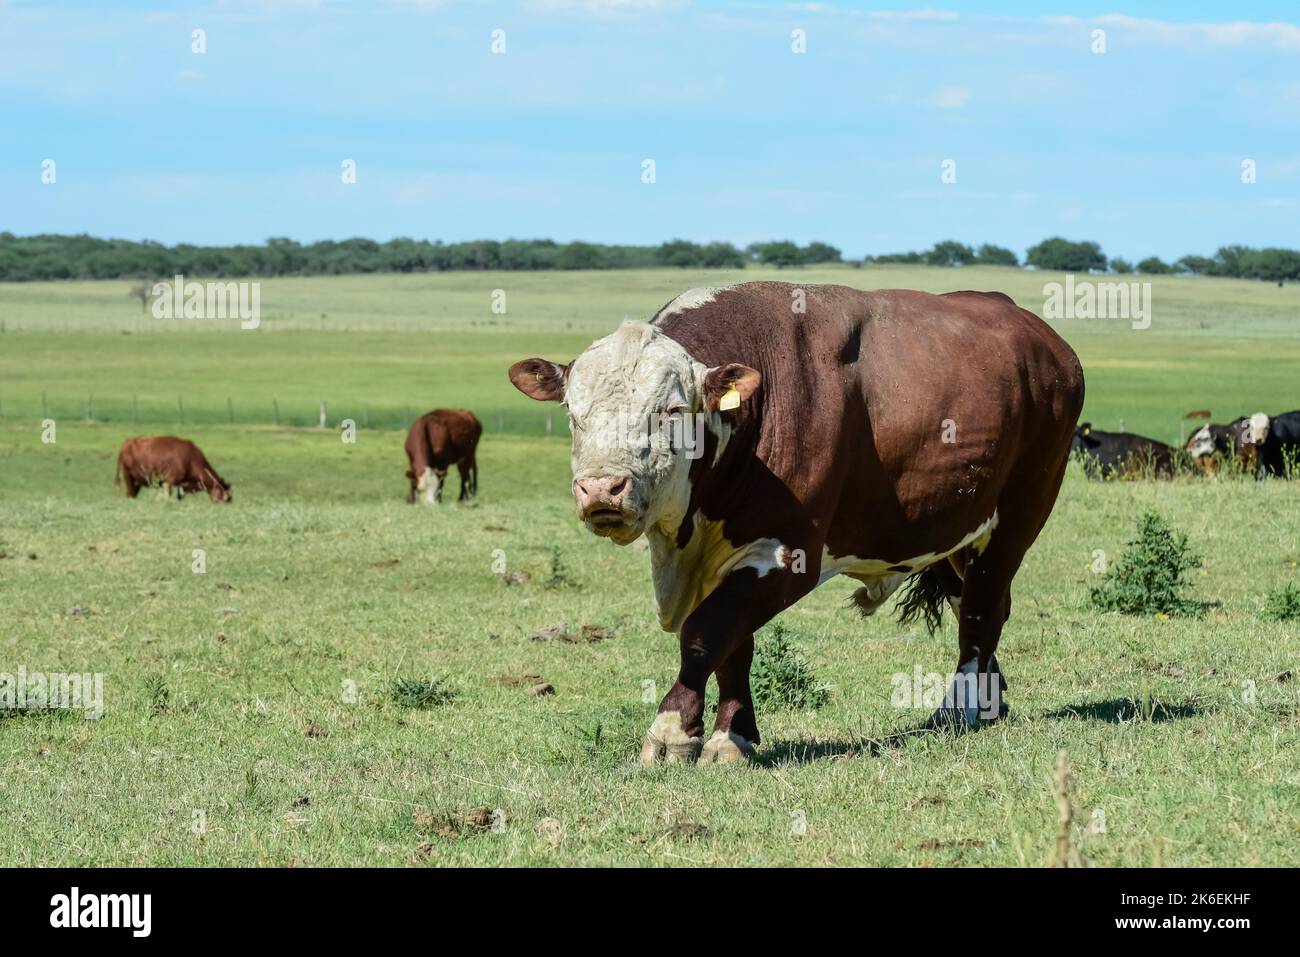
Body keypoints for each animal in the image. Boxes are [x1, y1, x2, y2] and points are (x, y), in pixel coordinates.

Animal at [509, 282, 1084, 765]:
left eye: (670, 411)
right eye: (573, 412)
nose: (602, 488)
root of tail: (1042, 338)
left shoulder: (788, 555)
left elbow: (705, 633)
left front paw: (673, 731)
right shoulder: (718, 561)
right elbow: (734, 647)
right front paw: (734, 735)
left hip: (1018, 514)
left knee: (981, 613)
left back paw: (960, 706)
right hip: (946, 528)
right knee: (986, 604)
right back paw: (991, 699)